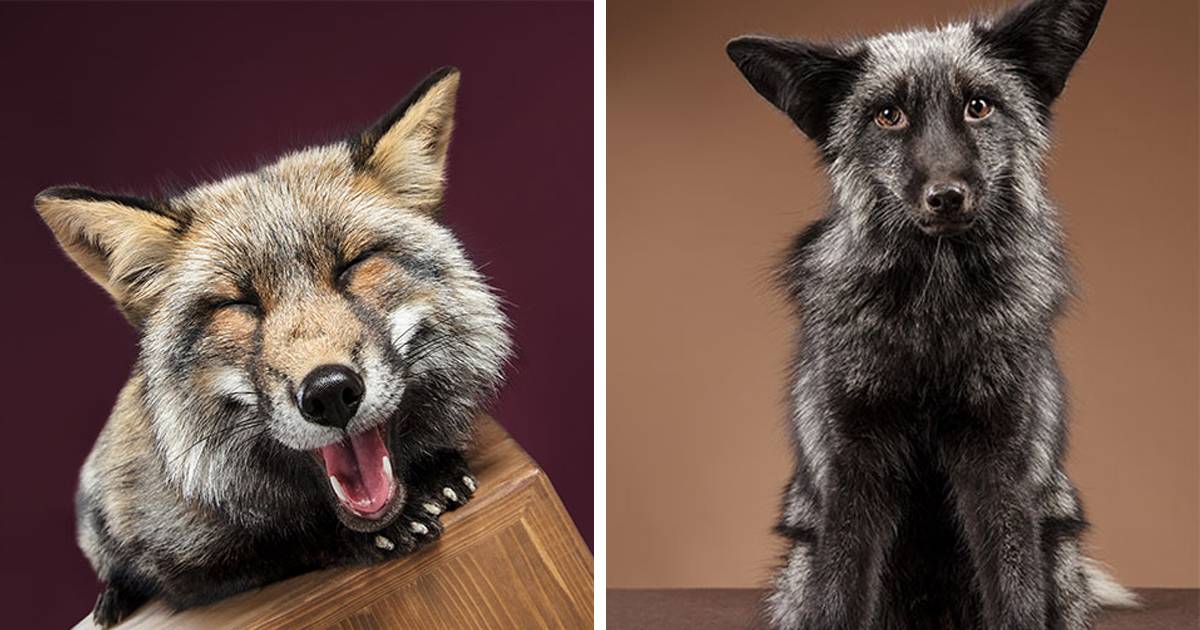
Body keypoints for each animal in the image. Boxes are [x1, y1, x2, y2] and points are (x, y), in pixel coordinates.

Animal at [35, 67, 511, 627]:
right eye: (239, 304)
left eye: (353, 265)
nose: (329, 392)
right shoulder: (180, 557)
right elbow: (275, 546)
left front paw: (438, 473)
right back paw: (111, 599)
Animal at [726, 0, 1138, 629]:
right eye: (888, 116)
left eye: (979, 106)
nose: (946, 197)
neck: (933, 319)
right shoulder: (855, 459)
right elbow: (841, 590)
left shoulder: (999, 458)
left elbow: (1013, 586)